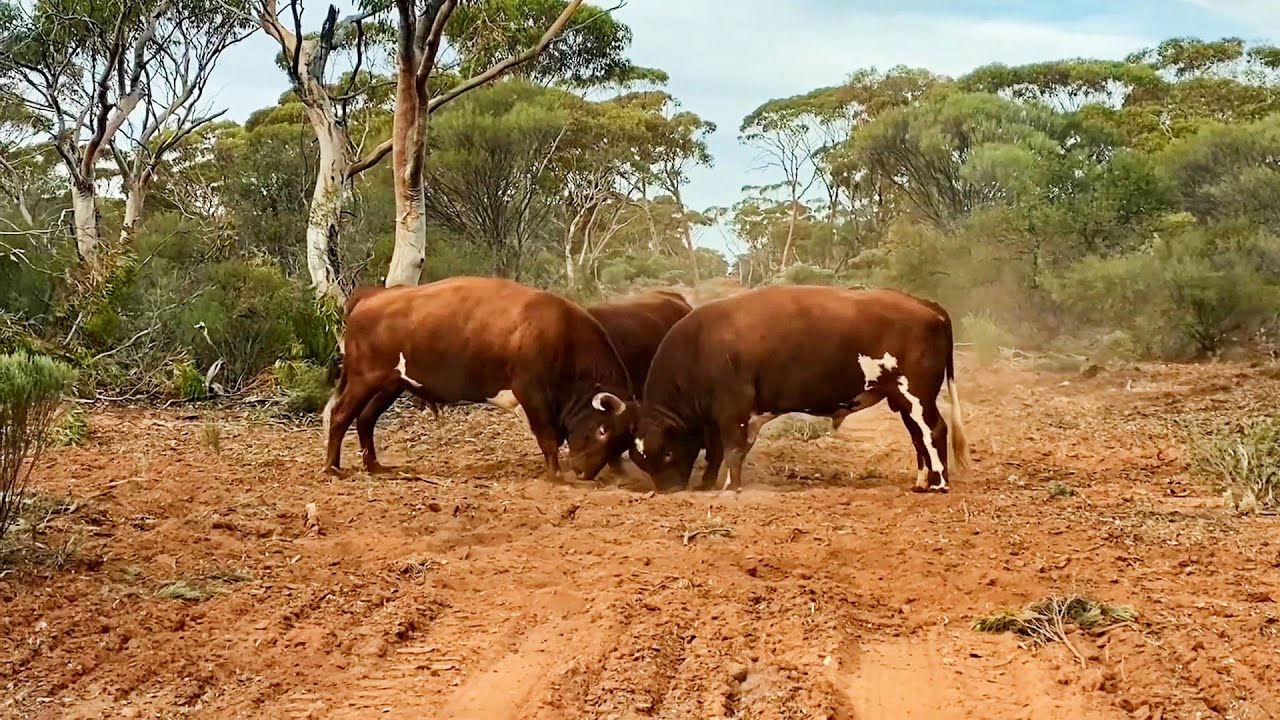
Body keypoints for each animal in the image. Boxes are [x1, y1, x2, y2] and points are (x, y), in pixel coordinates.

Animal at [321, 277, 636, 483]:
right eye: (603, 430)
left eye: (621, 441)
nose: (585, 472)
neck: (560, 335)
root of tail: (372, 296)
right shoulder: (532, 394)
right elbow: (548, 436)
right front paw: (556, 474)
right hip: (364, 380)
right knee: (340, 415)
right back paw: (332, 468)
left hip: (390, 385)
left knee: (365, 419)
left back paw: (373, 465)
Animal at [629, 285, 969, 494]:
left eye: (667, 453)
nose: (669, 490)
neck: (700, 344)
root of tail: (926, 305)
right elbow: (724, 452)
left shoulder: (733, 409)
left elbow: (732, 449)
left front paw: (729, 488)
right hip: (902, 400)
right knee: (919, 437)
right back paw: (922, 481)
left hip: (917, 395)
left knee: (935, 430)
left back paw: (939, 484)